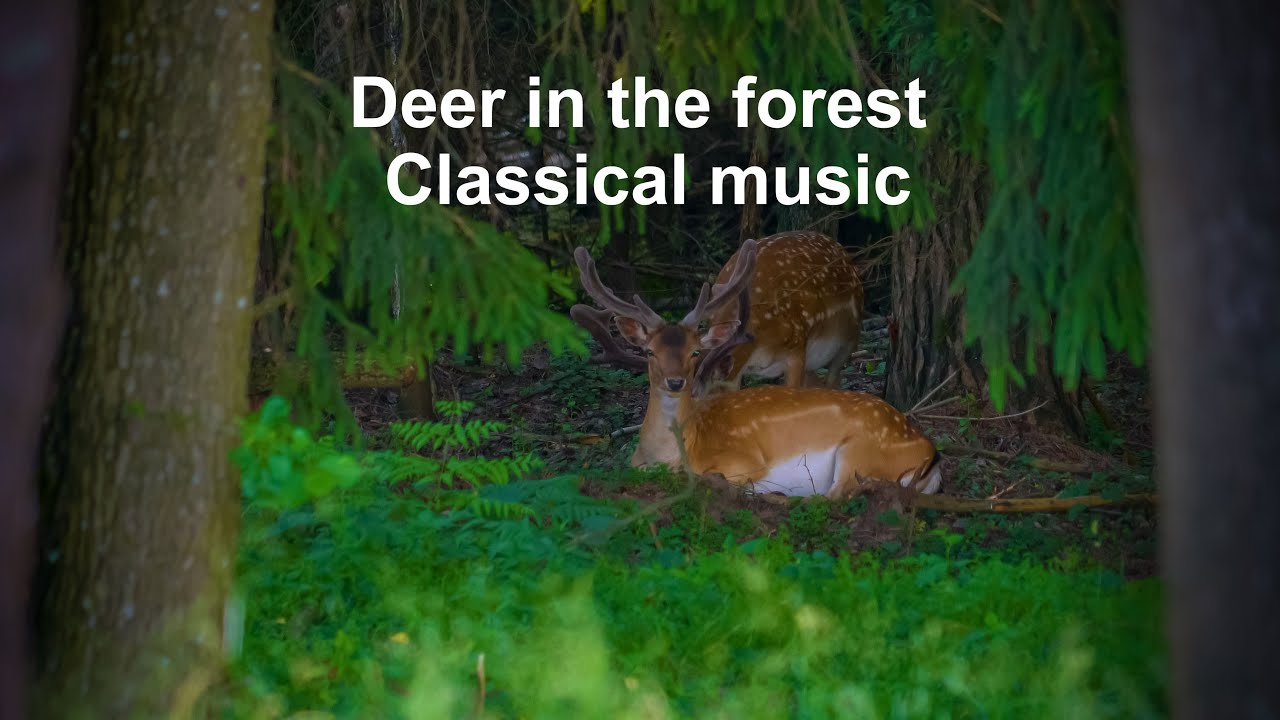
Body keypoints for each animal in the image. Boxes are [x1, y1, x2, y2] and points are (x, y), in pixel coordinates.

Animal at [569, 239, 942, 498]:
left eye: (694, 352)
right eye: (649, 352)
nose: (676, 382)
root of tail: (931, 454)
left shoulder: (742, 459)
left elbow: (709, 476)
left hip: (861, 451)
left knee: (834, 496)